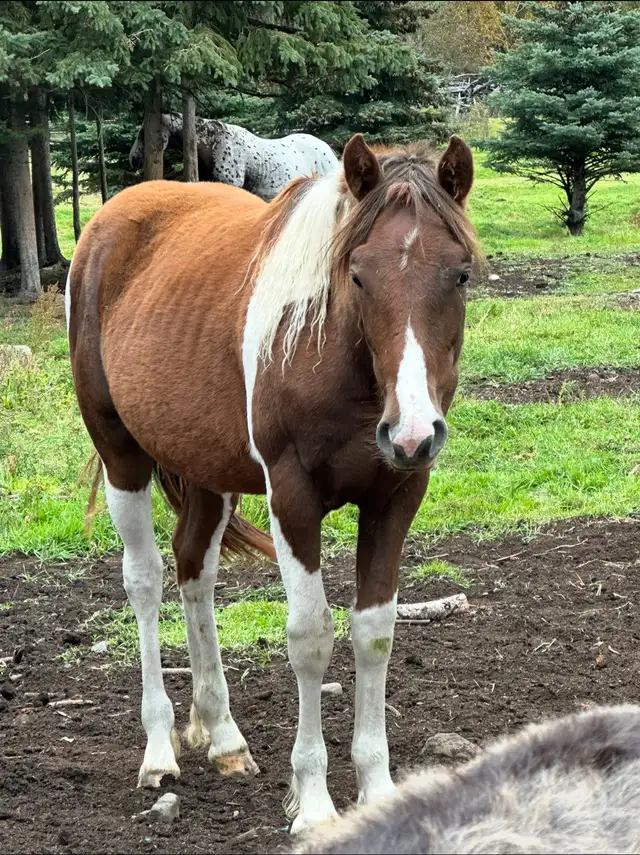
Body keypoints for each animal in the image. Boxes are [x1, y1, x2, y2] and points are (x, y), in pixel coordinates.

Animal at [66, 131, 477, 833]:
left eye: (460, 274)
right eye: (358, 274)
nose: (412, 433)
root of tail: (107, 219)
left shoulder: (397, 495)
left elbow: (375, 633)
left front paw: (377, 791)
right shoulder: (293, 498)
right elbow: (310, 638)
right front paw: (313, 804)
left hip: (207, 471)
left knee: (194, 572)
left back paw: (223, 735)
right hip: (122, 455)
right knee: (145, 582)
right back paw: (158, 749)